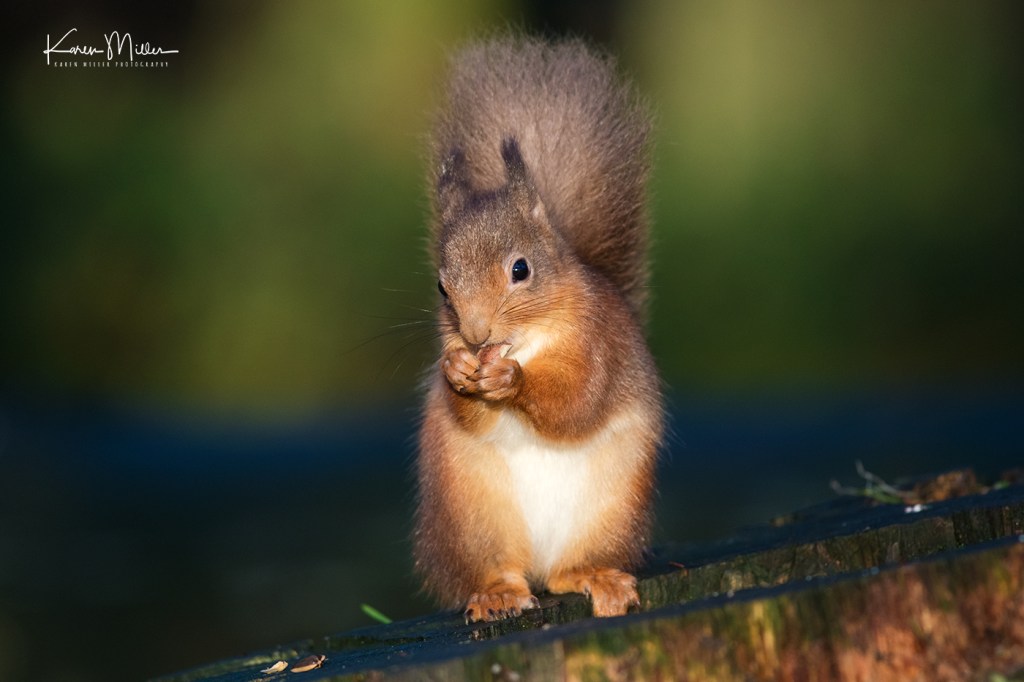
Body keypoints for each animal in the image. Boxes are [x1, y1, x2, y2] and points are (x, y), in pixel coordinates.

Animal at [413, 36, 663, 622]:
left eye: (521, 269)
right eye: (441, 286)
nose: (476, 336)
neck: (527, 344)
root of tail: (540, 565)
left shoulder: (600, 344)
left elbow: (577, 400)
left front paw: (512, 382)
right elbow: (466, 412)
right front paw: (457, 371)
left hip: (610, 507)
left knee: (568, 570)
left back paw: (597, 579)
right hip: (474, 516)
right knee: (501, 568)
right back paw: (498, 594)